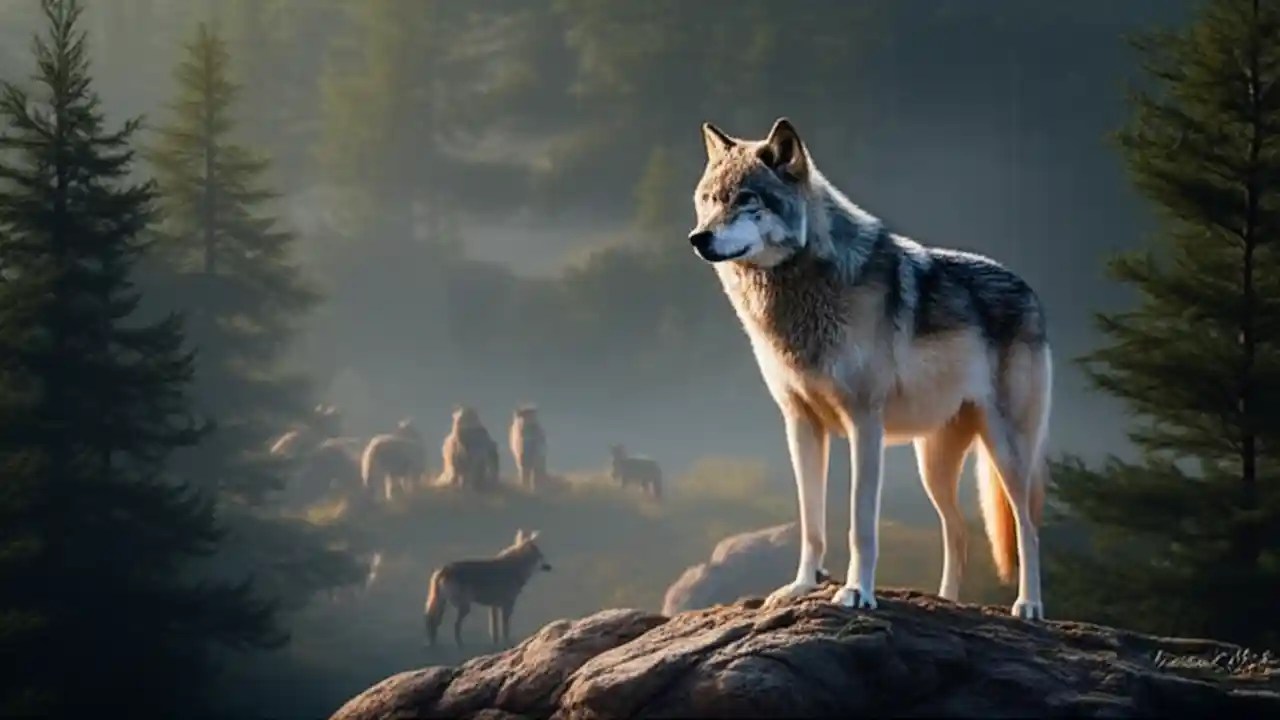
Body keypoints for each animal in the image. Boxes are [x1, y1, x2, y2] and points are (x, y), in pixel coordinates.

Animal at [423, 529, 552, 647]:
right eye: (541, 557)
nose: (549, 567)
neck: (515, 568)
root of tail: (443, 570)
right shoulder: (506, 606)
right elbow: (505, 630)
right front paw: (508, 644)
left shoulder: (494, 607)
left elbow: (495, 632)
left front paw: (496, 645)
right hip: (463, 607)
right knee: (454, 625)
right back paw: (460, 646)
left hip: (445, 605)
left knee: (433, 623)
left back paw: (434, 645)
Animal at [688, 118, 1051, 620]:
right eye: (709, 199)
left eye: (746, 199)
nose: (698, 238)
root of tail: (1029, 290)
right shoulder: (801, 424)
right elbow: (811, 522)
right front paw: (802, 586)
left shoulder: (865, 423)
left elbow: (861, 525)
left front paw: (857, 592)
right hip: (932, 465)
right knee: (958, 532)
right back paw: (946, 601)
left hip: (1006, 451)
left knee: (1027, 527)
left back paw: (1028, 605)